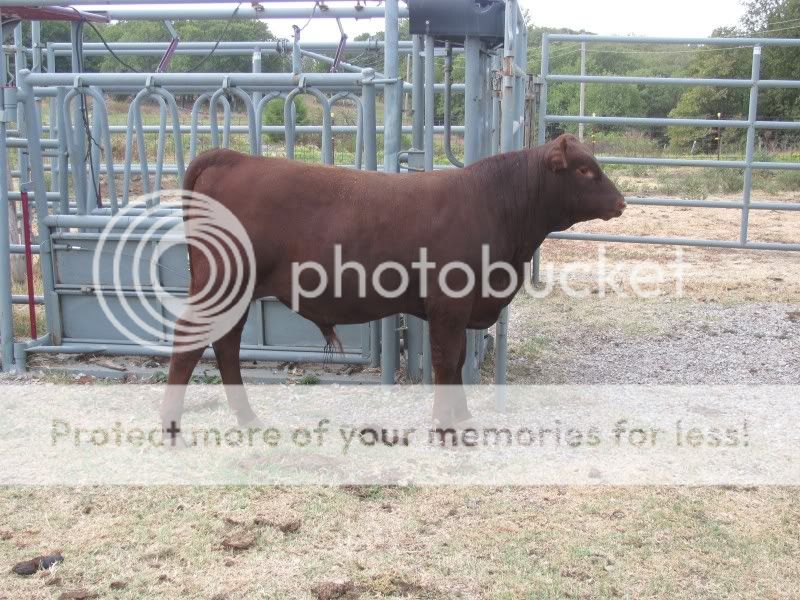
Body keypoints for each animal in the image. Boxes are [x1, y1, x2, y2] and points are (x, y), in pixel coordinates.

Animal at [161, 134, 625, 440]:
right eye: (585, 169)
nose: (621, 202)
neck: (494, 204)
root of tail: (232, 157)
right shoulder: (449, 303)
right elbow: (445, 363)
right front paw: (445, 426)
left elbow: (458, 361)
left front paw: (461, 417)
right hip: (222, 283)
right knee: (190, 343)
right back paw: (172, 425)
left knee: (225, 344)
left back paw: (247, 419)